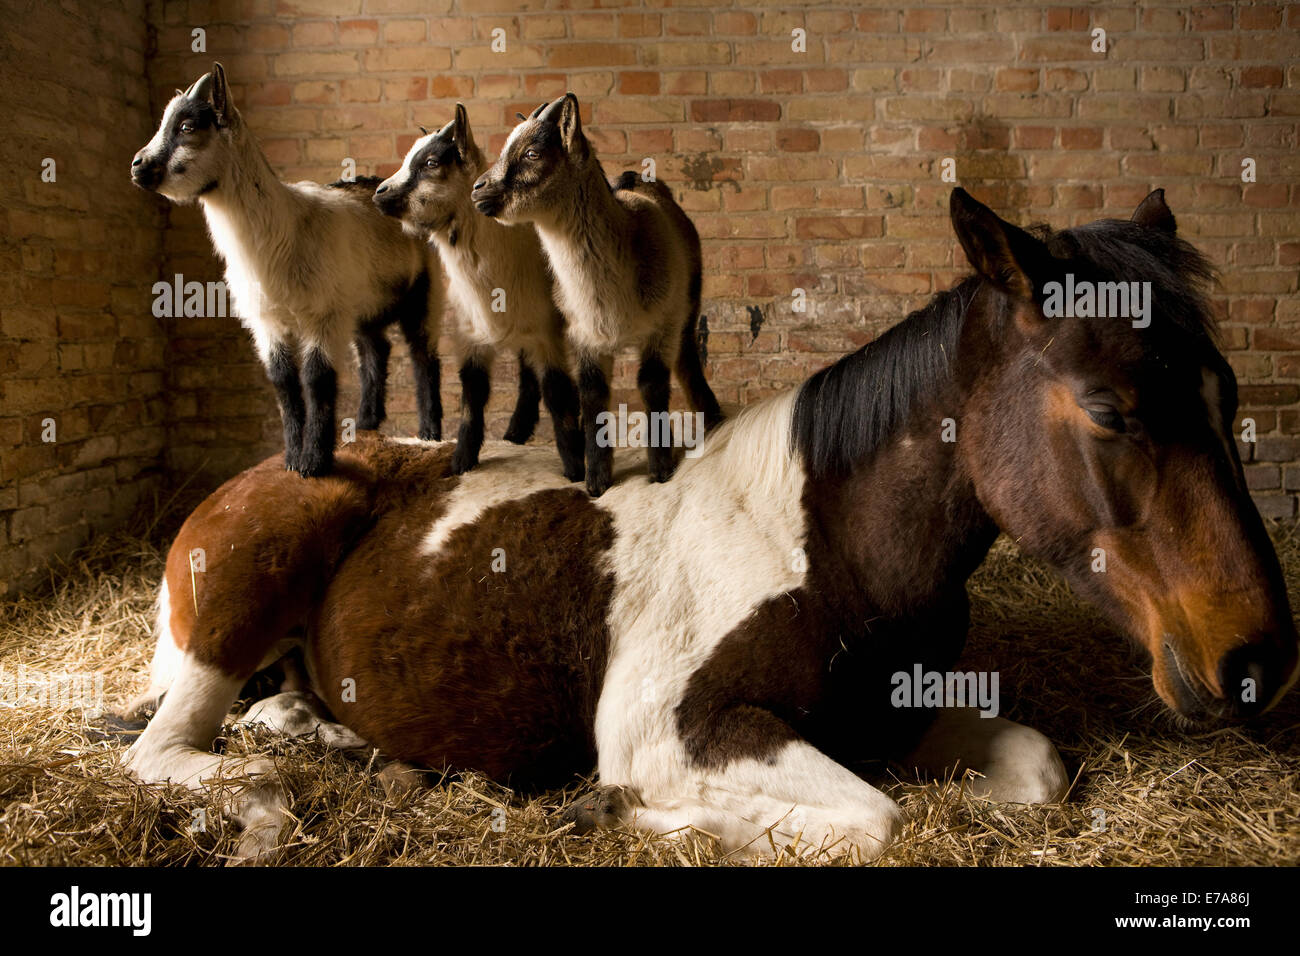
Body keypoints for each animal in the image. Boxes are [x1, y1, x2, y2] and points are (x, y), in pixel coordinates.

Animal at [120, 187, 1299, 862]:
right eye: (1109, 410)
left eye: (1227, 394)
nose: (1257, 659)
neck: (828, 548)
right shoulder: (674, 730)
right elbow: (876, 821)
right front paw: (607, 812)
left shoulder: (890, 718)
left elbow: (1036, 773)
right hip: (232, 613)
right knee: (167, 748)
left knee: (283, 712)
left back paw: (352, 747)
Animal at [130, 62, 444, 477]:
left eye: (186, 126)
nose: (137, 166)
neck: (282, 234)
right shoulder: (267, 321)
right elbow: (283, 382)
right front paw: (293, 459)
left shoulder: (322, 316)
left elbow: (317, 380)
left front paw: (314, 462)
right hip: (361, 301)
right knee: (375, 351)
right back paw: (366, 425)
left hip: (423, 290)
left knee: (424, 355)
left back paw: (429, 433)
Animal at [374, 105, 583, 480]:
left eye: (431, 162)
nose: (379, 193)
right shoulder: (469, 336)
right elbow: (472, 397)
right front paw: (461, 462)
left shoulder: (548, 334)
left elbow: (558, 394)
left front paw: (575, 469)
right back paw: (516, 433)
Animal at [471, 94, 723, 497]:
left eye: (532, 153)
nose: (477, 190)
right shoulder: (584, 336)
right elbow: (591, 397)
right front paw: (596, 481)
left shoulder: (663, 326)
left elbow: (652, 385)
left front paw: (660, 470)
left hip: (688, 303)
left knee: (687, 362)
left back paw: (713, 419)